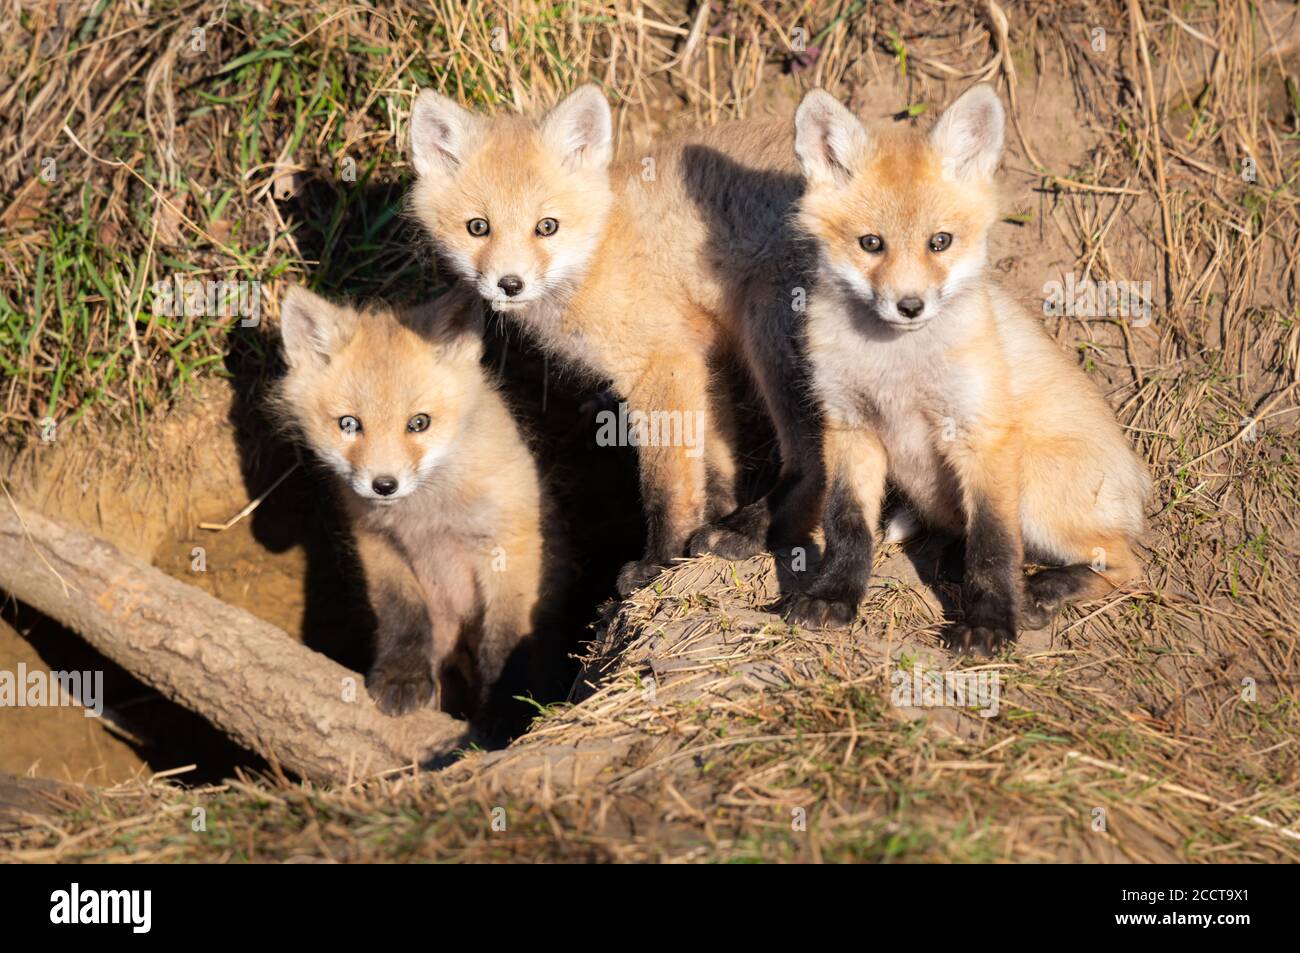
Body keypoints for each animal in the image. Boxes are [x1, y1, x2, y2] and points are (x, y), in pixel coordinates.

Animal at [273, 284, 568, 735]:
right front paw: (401, 675)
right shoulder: (377, 543)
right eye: (348, 424)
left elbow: (506, 639)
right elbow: (402, 613)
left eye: (419, 423)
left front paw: (506, 711)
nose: (384, 485)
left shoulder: (510, 545)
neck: (428, 518)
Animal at [407, 84, 825, 595]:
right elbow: (711, 462)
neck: (598, 252)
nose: (510, 284)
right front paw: (706, 525)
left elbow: (666, 484)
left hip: (773, 332)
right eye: (477, 227)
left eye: (546, 226)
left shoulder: (658, 365)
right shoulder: (695, 358)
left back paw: (750, 531)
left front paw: (660, 561)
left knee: (818, 453)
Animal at [786, 85, 1152, 654]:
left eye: (940, 242)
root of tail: (1137, 478)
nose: (909, 306)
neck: (900, 369)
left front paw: (988, 624)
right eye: (871, 243)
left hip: (1038, 493)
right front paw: (835, 597)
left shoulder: (982, 435)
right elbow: (847, 525)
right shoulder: (849, 426)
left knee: (1126, 564)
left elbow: (993, 545)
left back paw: (1045, 591)